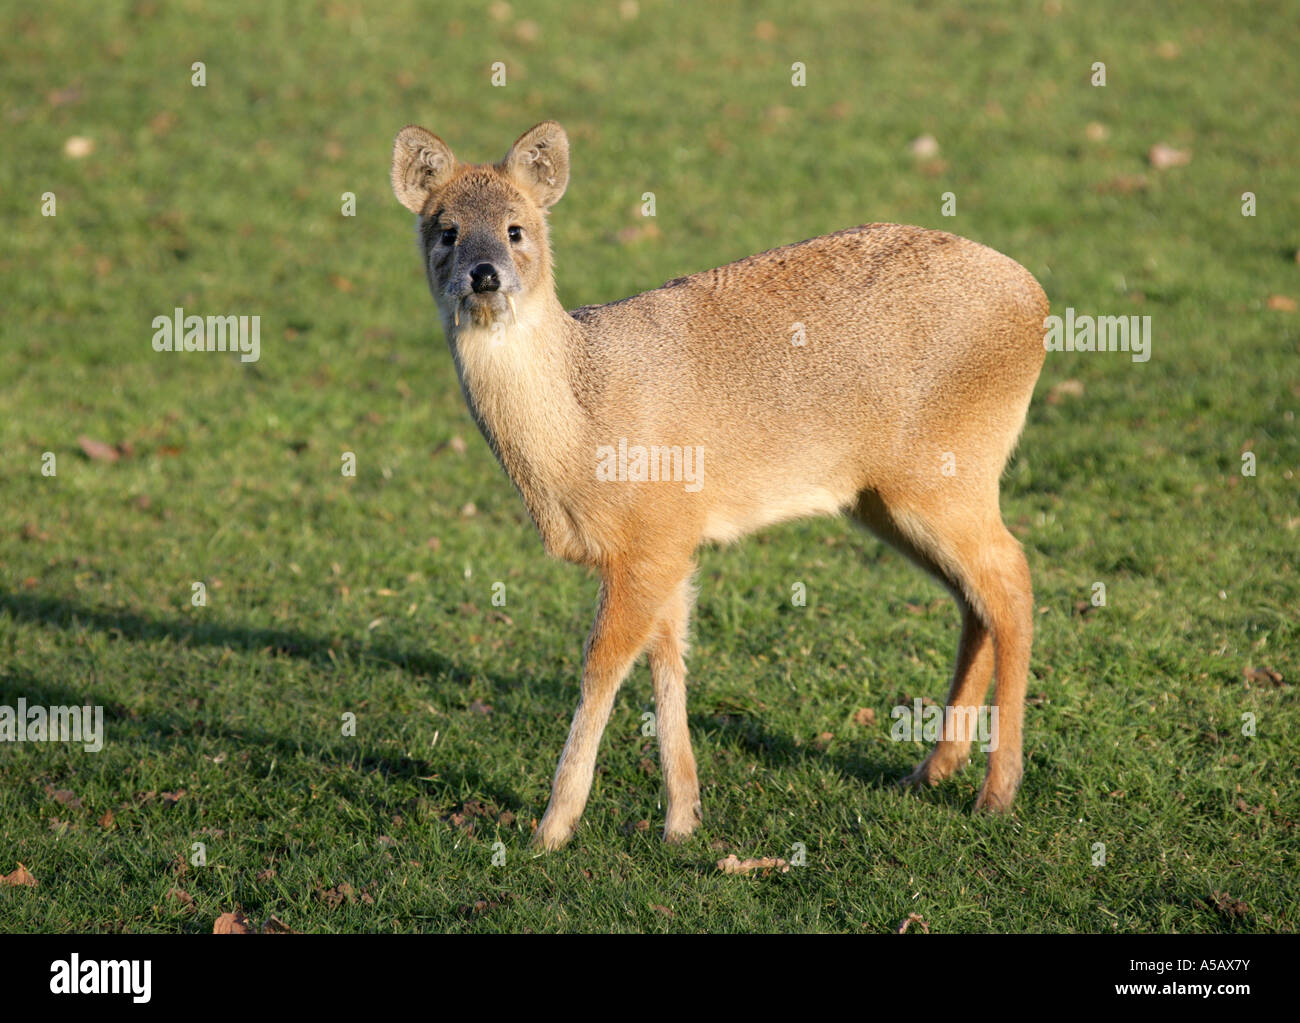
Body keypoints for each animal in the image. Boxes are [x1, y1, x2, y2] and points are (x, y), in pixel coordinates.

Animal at [390, 121, 1048, 851]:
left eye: (515, 228)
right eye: (445, 229)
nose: (484, 274)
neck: (579, 430)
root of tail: (1038, 301)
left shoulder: (651, 540)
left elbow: (603, 665)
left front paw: (552, 829)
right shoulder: (672, 543)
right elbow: (668, 661)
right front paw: (683, 818)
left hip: (946, 475)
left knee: (1012, 581)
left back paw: (997, 791)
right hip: (888, 498)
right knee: (977, 598)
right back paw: (933, 769)